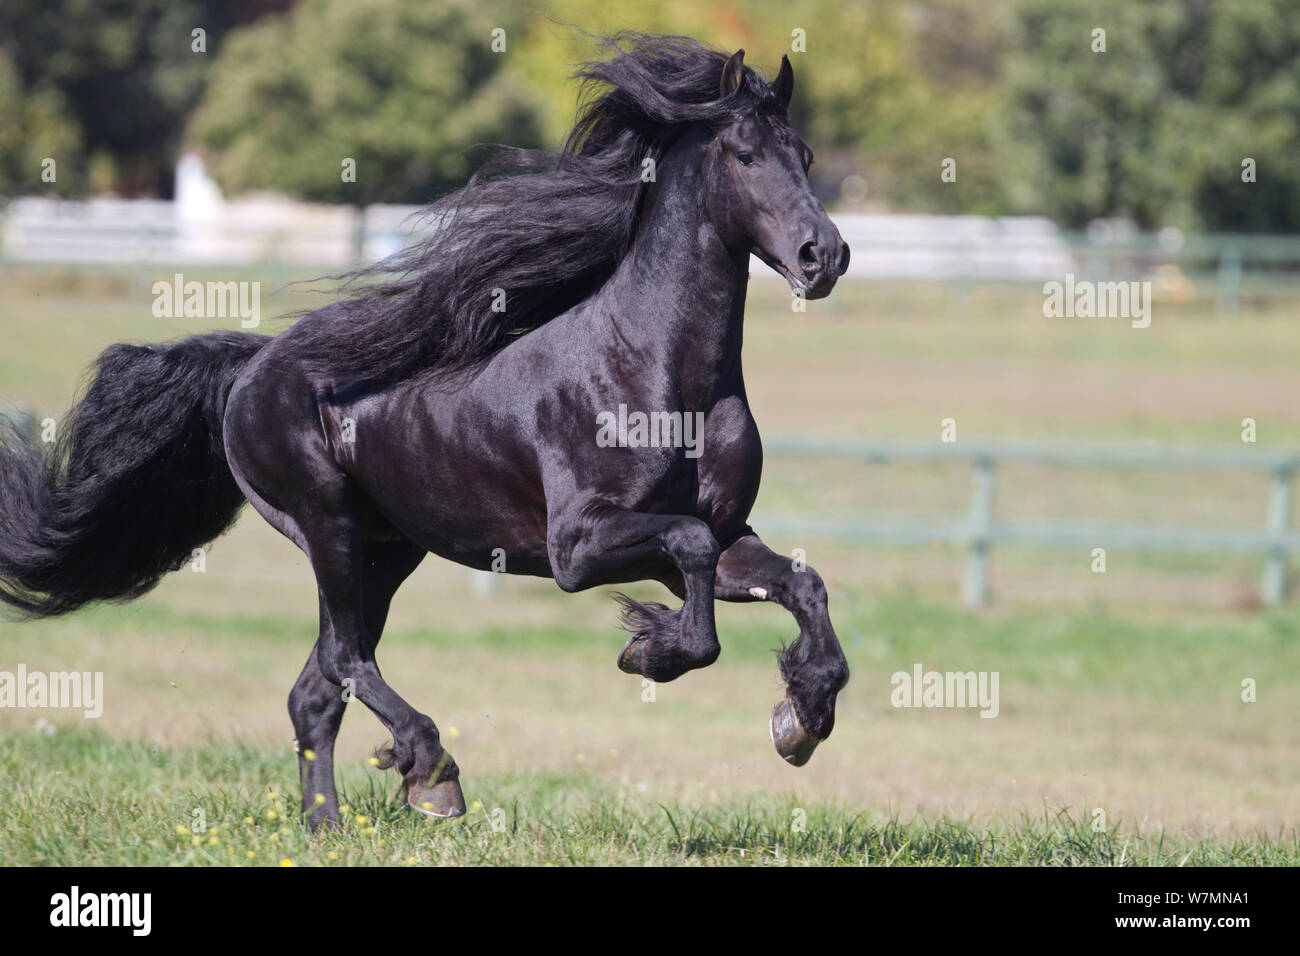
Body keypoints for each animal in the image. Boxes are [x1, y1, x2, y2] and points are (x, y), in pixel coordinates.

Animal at [0, 33, 851, 828]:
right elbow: (692, 562)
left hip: (384, 553)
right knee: (344, 659)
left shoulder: (725, 532)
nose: (825, 255)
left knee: (317, 688)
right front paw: (652, 651)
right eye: (744, 154)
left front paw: (800, 717)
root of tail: (250, 370)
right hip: (328, 531)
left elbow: (796, 581)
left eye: (806, 155)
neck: (655, 371)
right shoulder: (580, 549)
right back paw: (432, 773)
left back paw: (328, 824)